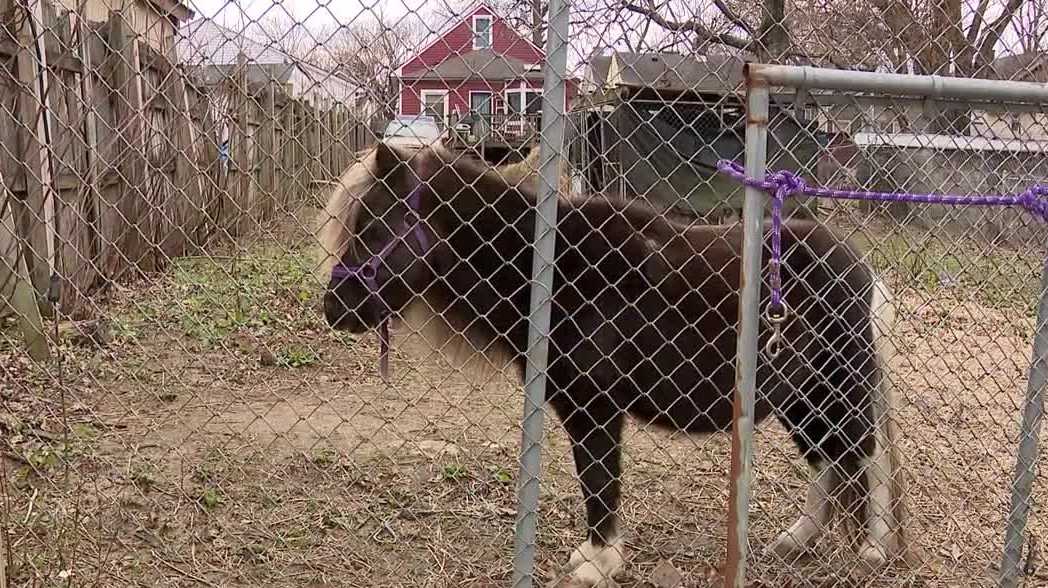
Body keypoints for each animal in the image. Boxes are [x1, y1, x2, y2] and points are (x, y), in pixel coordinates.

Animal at [317, 141, 910, 586]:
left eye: (375, 226)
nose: (335, 308)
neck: (553, 269)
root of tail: (864, 273)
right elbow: (594, 481)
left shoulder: (594, 407)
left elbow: (599, 480)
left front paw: (598, 563)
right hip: (798, 398)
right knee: (829, 462)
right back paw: (798, 539)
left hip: (835, 388)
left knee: (866, 458)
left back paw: (875, 549)